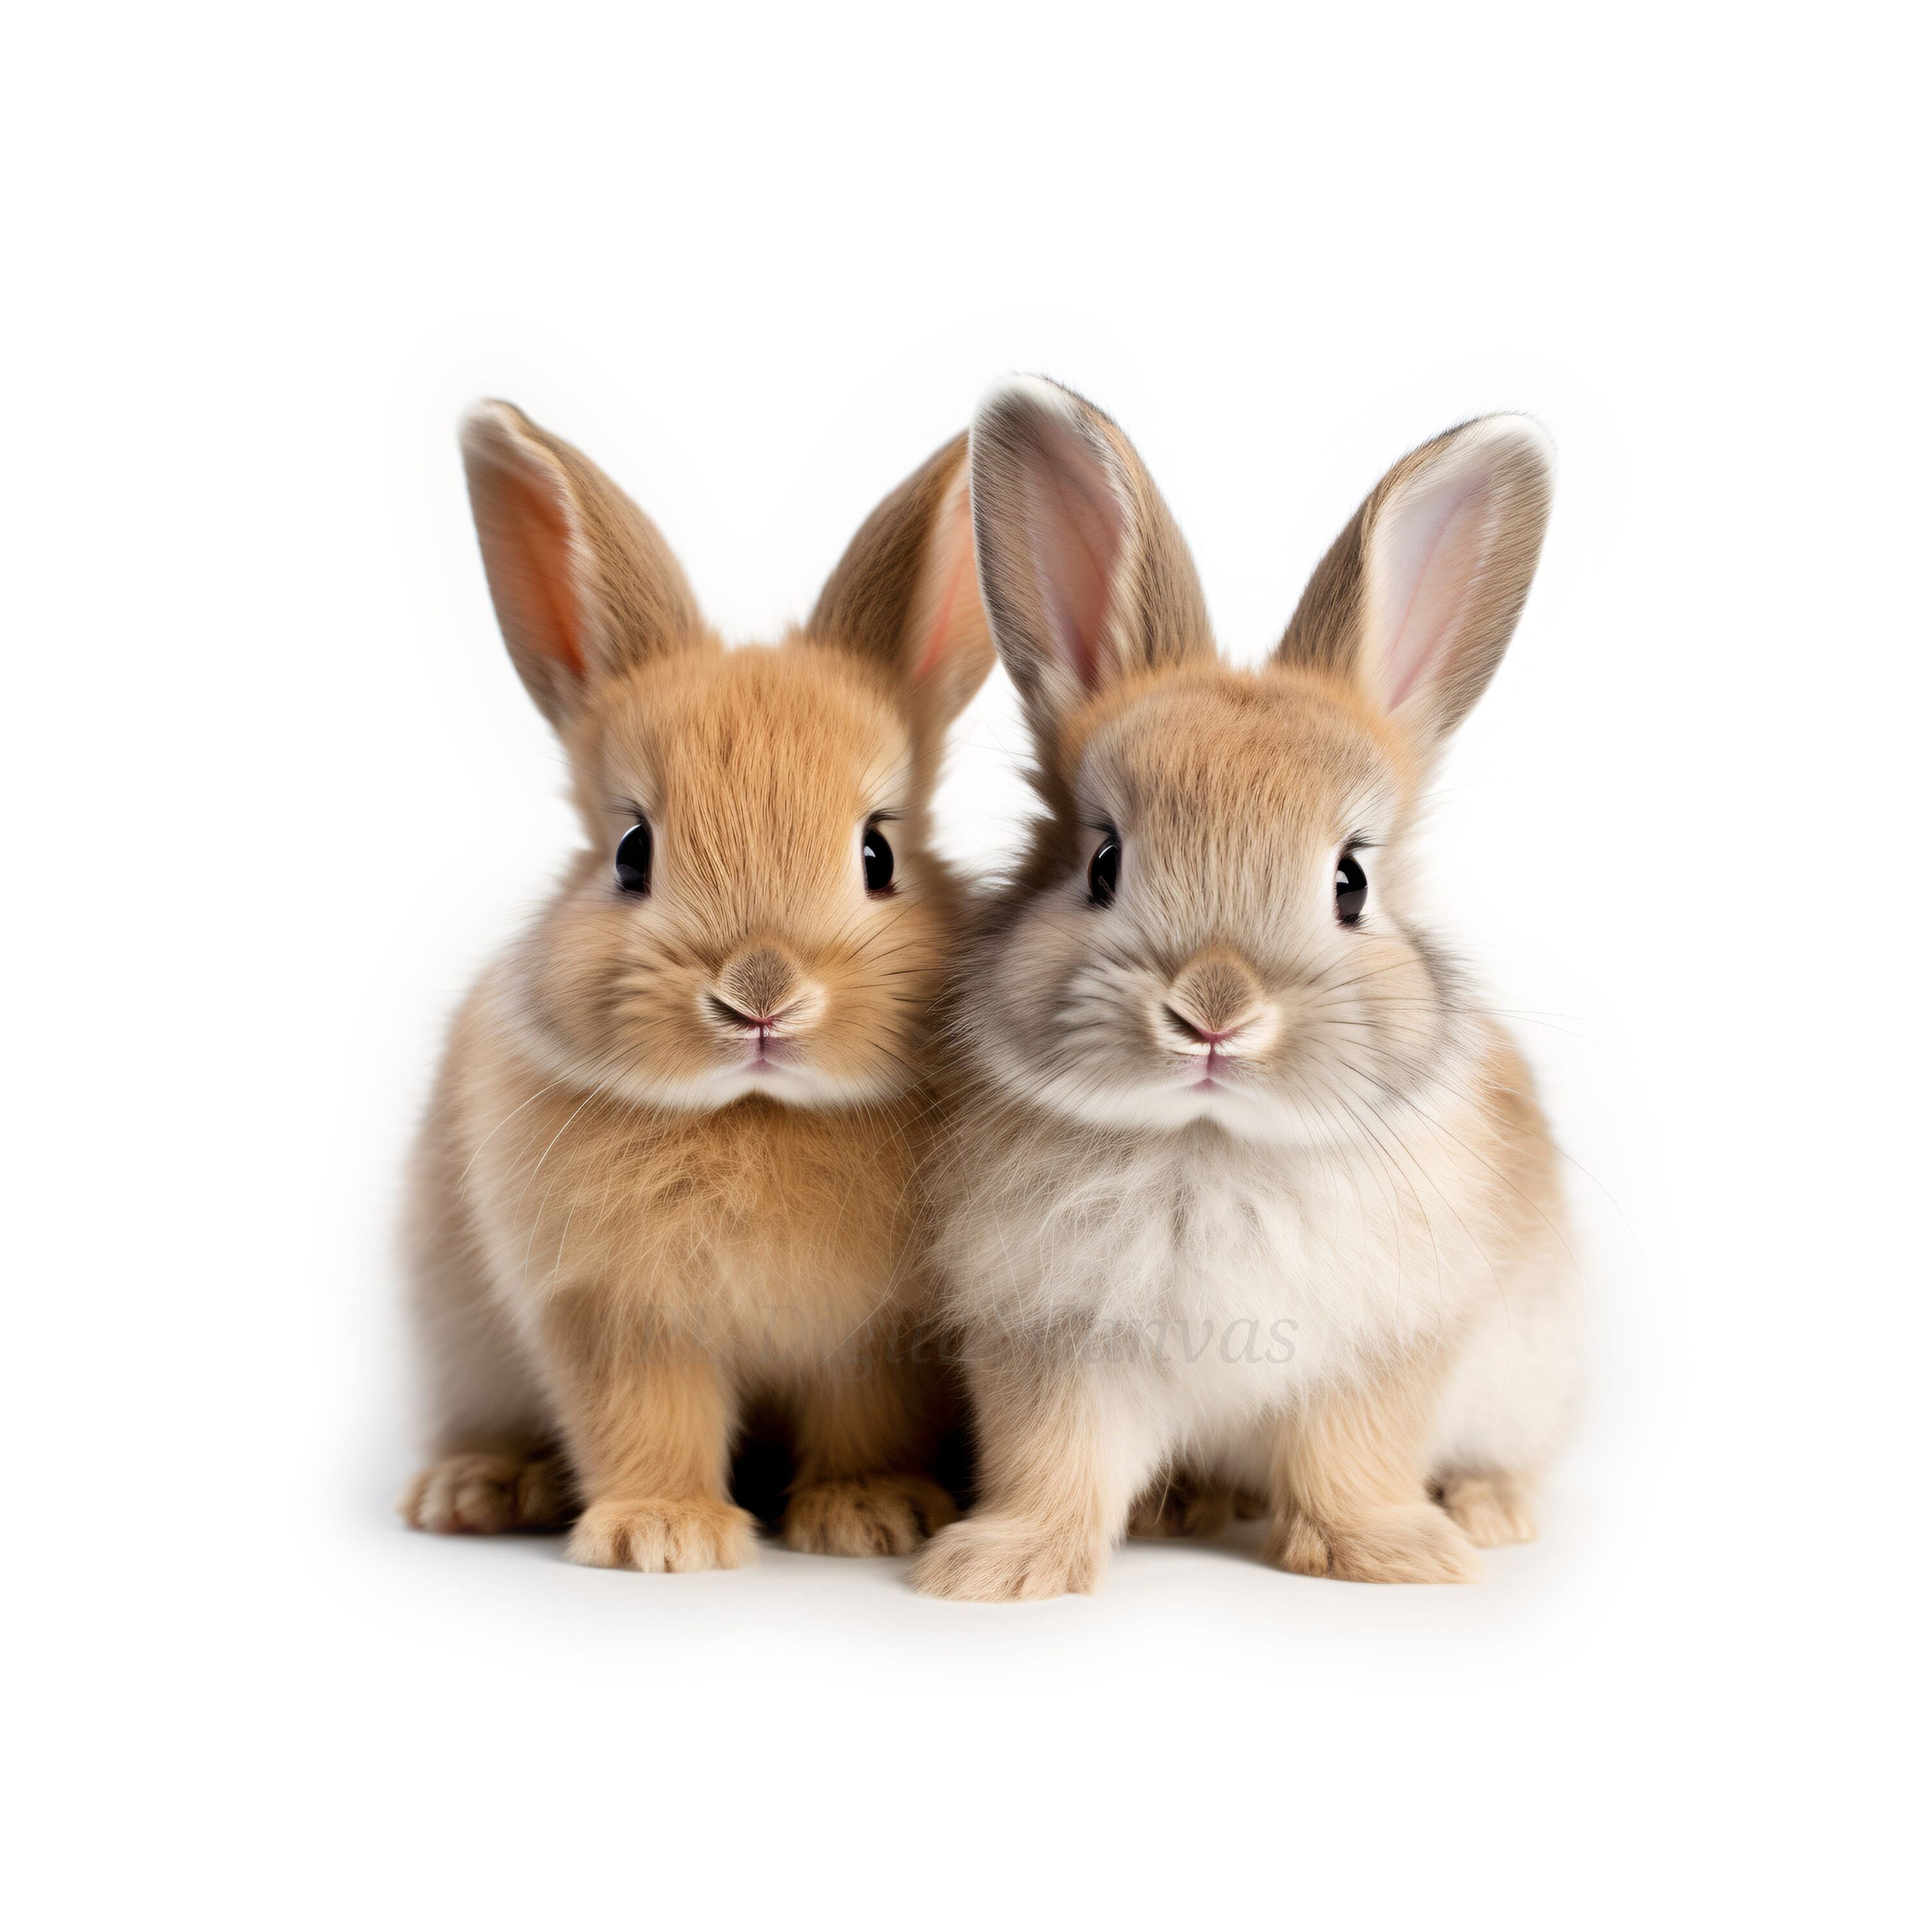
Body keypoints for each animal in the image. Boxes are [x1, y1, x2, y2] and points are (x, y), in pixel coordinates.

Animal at [396, 400, 994, 1571]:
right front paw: (661, 1536)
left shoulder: (875, 1338)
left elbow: (863, 1421)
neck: (753, 1112)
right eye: (633, 852)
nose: (759, 996)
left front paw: (870, 1516)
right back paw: (476, 1489)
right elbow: (647, 1420)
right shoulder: (612, 1315)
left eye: (878, 855)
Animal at [910, 377, 1577, 1600]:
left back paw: (1488, 1511)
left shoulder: (1386, 1348)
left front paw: (1397, 1556)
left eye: (1350, 881)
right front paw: (1001, 1568)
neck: (1210, 1141)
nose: (1213, 1013)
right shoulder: (1050, 1348)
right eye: (1104, 863)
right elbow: (1055, 1465)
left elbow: (1353, 1458)